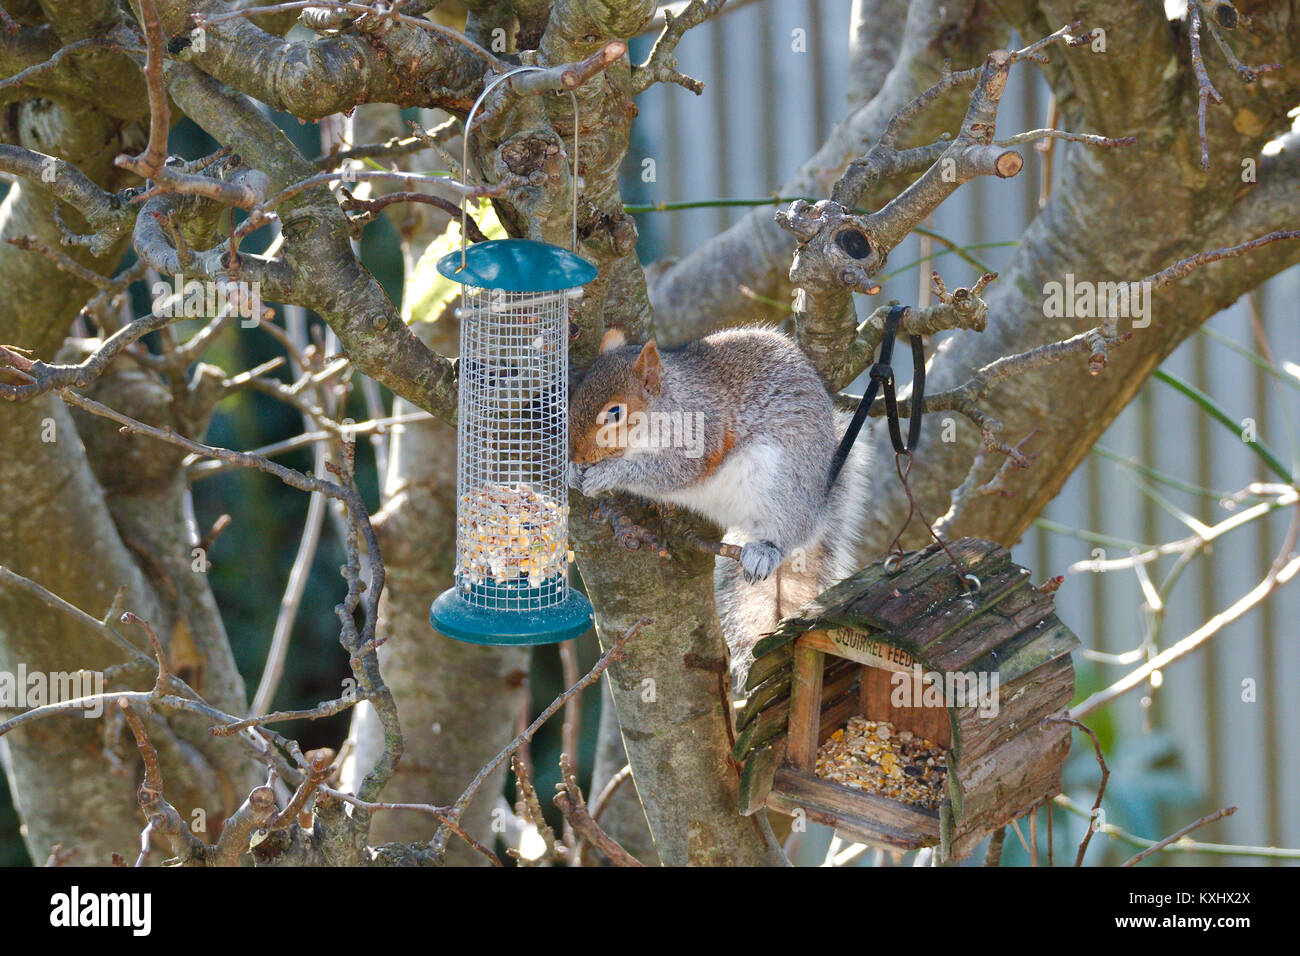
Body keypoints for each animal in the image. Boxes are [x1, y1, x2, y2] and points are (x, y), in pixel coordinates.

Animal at [568, 326, 870, 679]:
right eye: (575, 394)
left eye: (615, 413)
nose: (575, 454)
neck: (669, 406)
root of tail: (819, 504)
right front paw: (571, 471)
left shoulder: (699, 439)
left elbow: (662, 472)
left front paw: (606, 473)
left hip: (781, 485)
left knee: (790, 534)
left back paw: (765, 551)